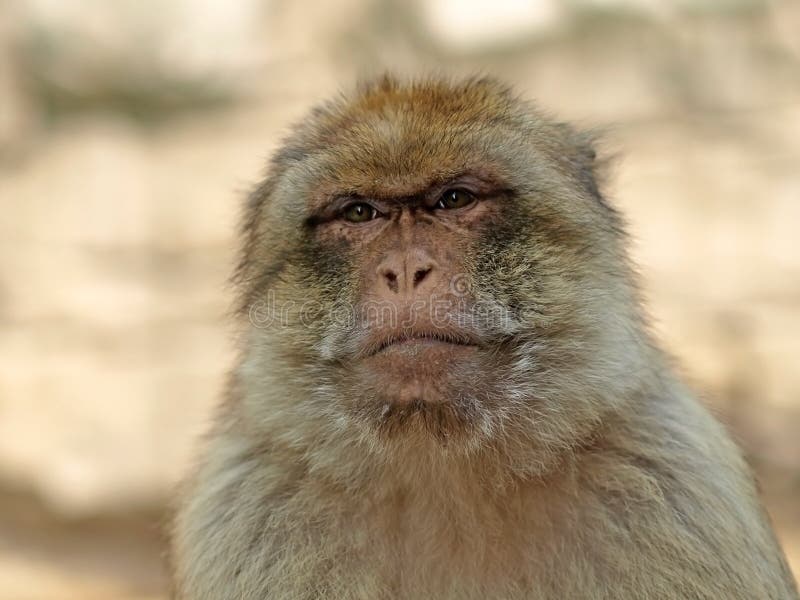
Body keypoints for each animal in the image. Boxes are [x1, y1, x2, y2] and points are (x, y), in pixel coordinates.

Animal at [169, 75, 799, 600]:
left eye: (454, 199)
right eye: (359, 213)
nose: (405, 269)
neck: (444, 473)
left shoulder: (678, 495)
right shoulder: (252, 520)